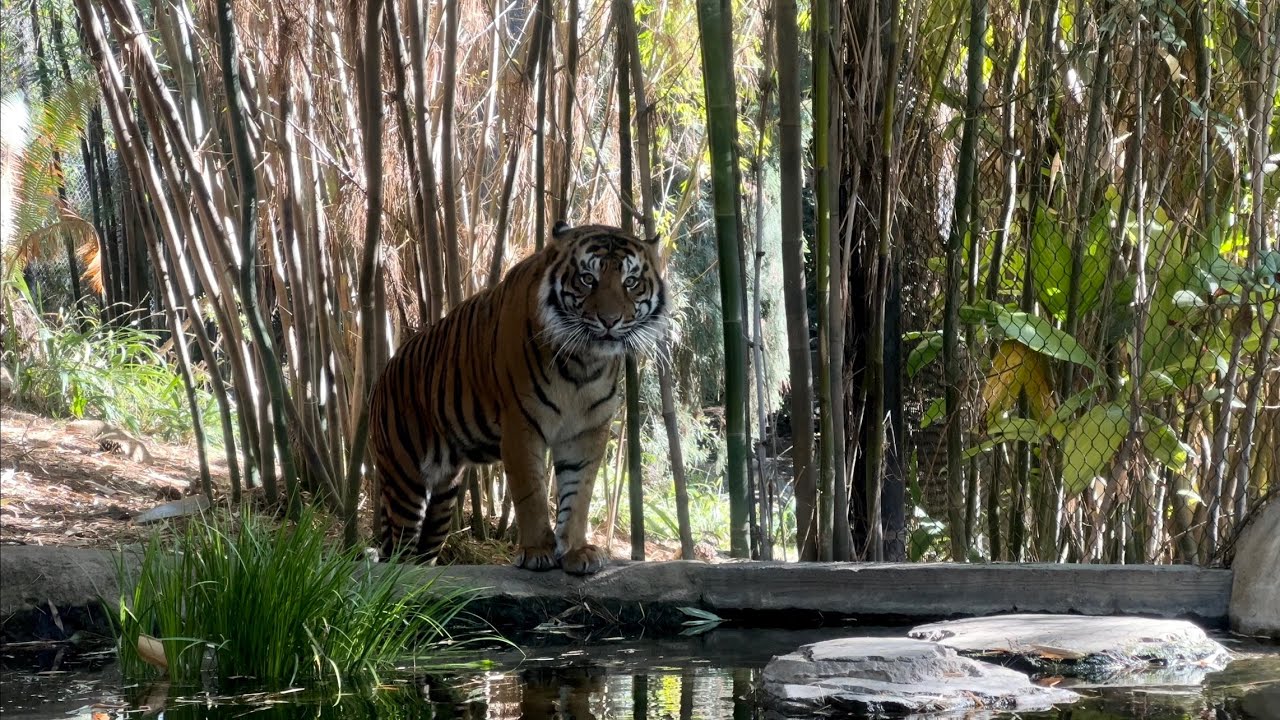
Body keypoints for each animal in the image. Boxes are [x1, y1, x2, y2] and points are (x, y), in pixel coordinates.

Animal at [368, 220, 668, 575]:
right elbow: (531, 492)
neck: (584, 362)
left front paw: (577, 551)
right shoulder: (521, 424)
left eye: (630, 282)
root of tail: (382, 373)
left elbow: (579, 493)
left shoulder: (588, 431)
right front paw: (537, 551)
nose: (610, 321)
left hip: (443, 495)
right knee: (398, 548)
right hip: (405, 479)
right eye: (587, 279)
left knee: (424, 550)